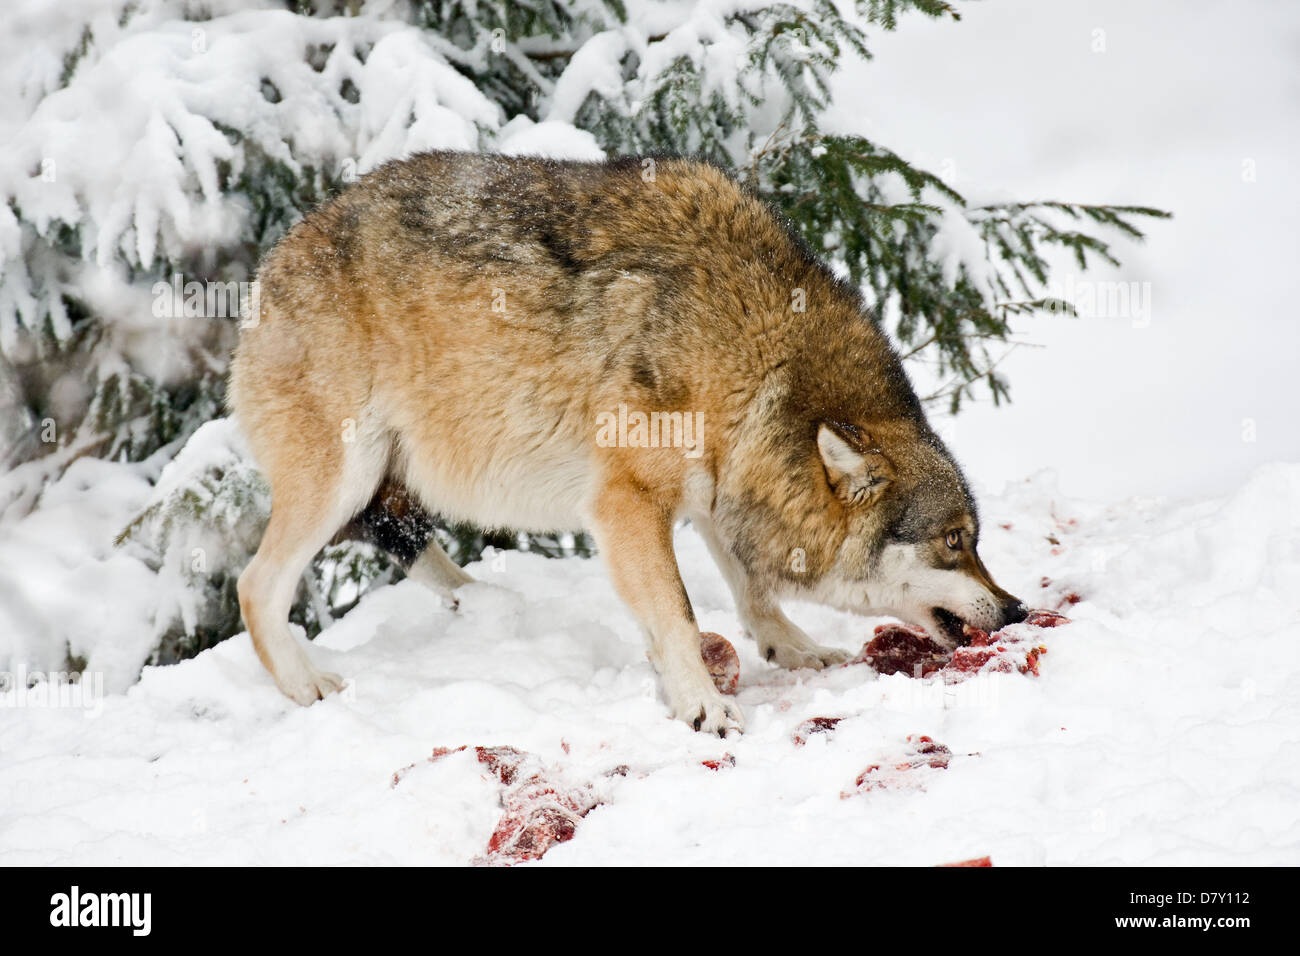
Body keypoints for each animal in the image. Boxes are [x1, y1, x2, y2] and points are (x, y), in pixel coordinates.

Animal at [228, 151, 1026, 735]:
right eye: (955, 541)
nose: (1016, 610)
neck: (755, 360)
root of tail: (275, 258)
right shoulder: (628, 502)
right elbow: (679, 613)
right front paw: (704, 706)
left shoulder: (721, 490)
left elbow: (752, 593)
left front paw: (793, 652)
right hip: (342, 477)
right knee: (254, 585)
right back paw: (307, 687)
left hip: (379, 479)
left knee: (412, 550)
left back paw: (483, 606)